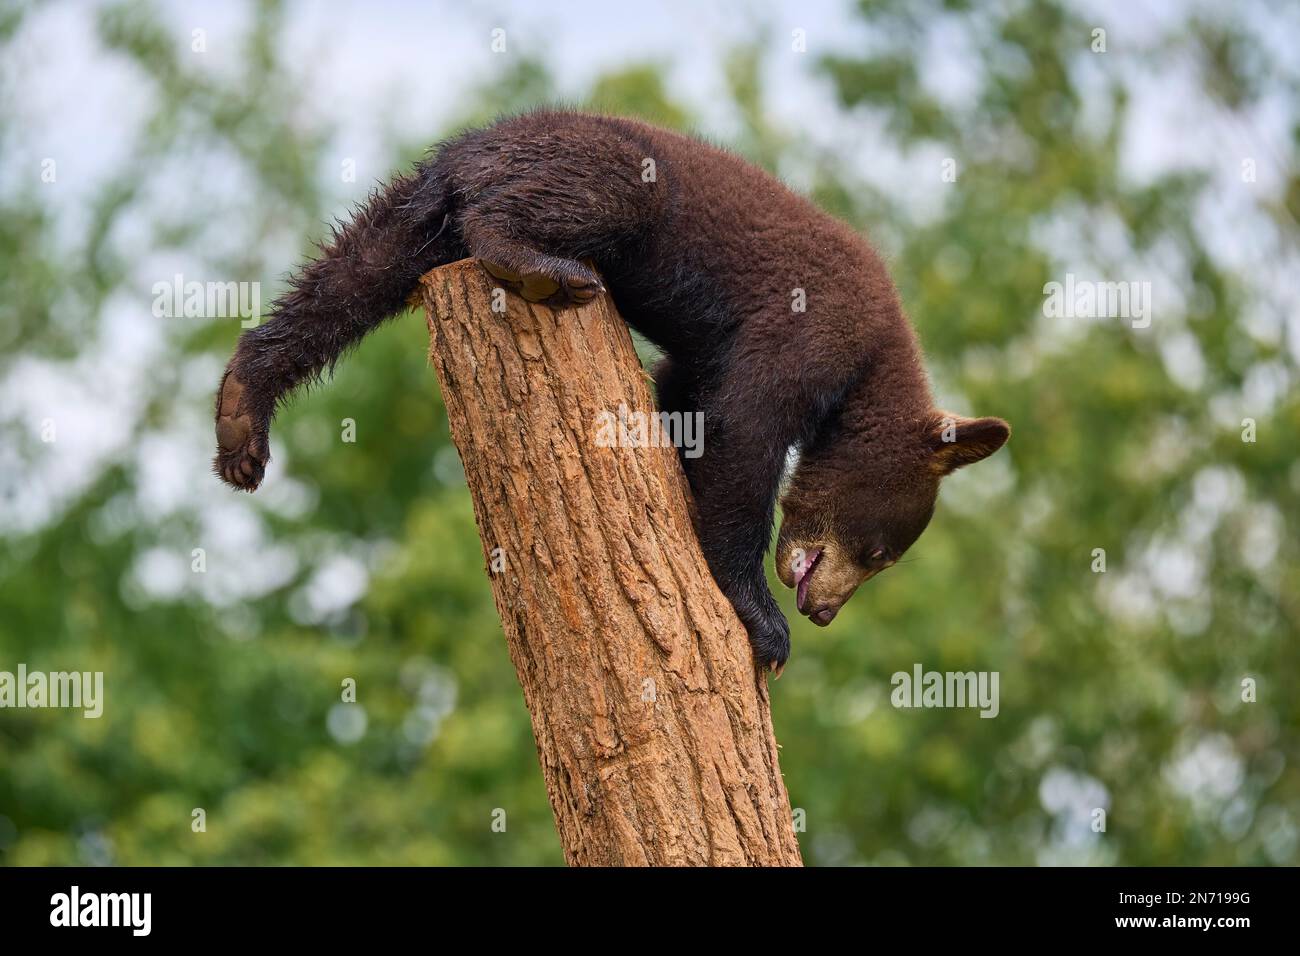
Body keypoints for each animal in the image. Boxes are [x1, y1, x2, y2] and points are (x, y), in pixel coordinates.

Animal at [213, 109, 1010, 674]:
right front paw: (763, 622)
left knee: (350, 277)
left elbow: (691, 395)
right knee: (536, 212)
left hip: (419, 223)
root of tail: (469, 145)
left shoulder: (710, 354)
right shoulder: (810, 331)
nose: (824, 613)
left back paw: (240, 420)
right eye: (880, 553)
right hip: (608, 175)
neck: (874, 365)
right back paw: (541, 268)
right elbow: (745, 433)